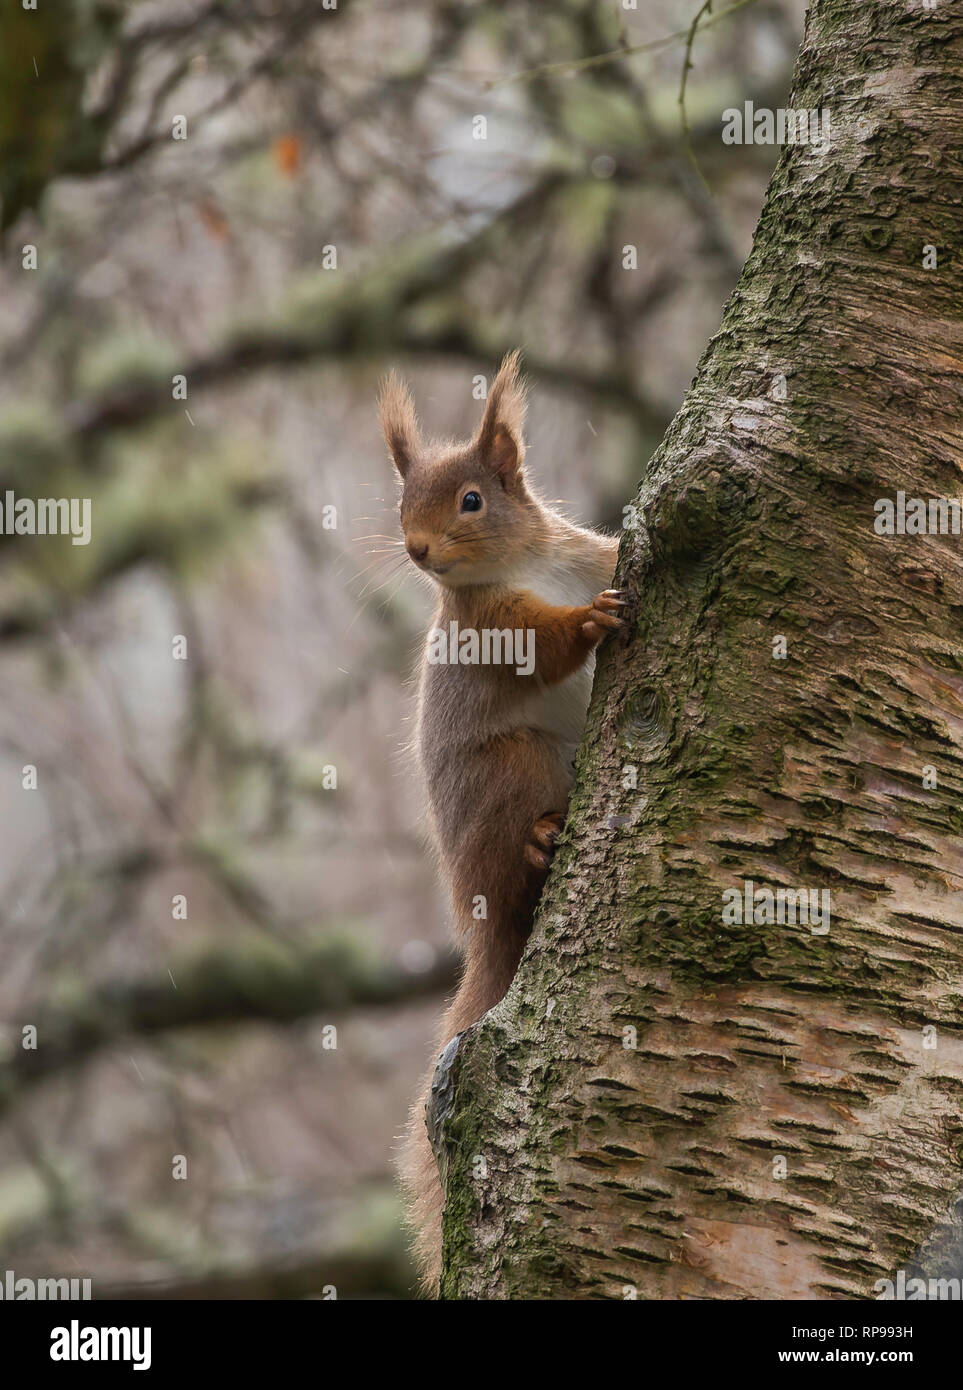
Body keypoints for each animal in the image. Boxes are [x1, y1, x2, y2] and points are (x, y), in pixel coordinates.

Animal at [378, 350, 622, 1295]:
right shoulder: (488, 627)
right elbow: (544, 647)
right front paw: (587, 623)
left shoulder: (587, 553)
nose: (416, 549)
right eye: (401, 506)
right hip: (511, 770)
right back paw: (539, 843)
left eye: (472, 500)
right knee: (513, 869)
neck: (526, 567)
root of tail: (481, 931)